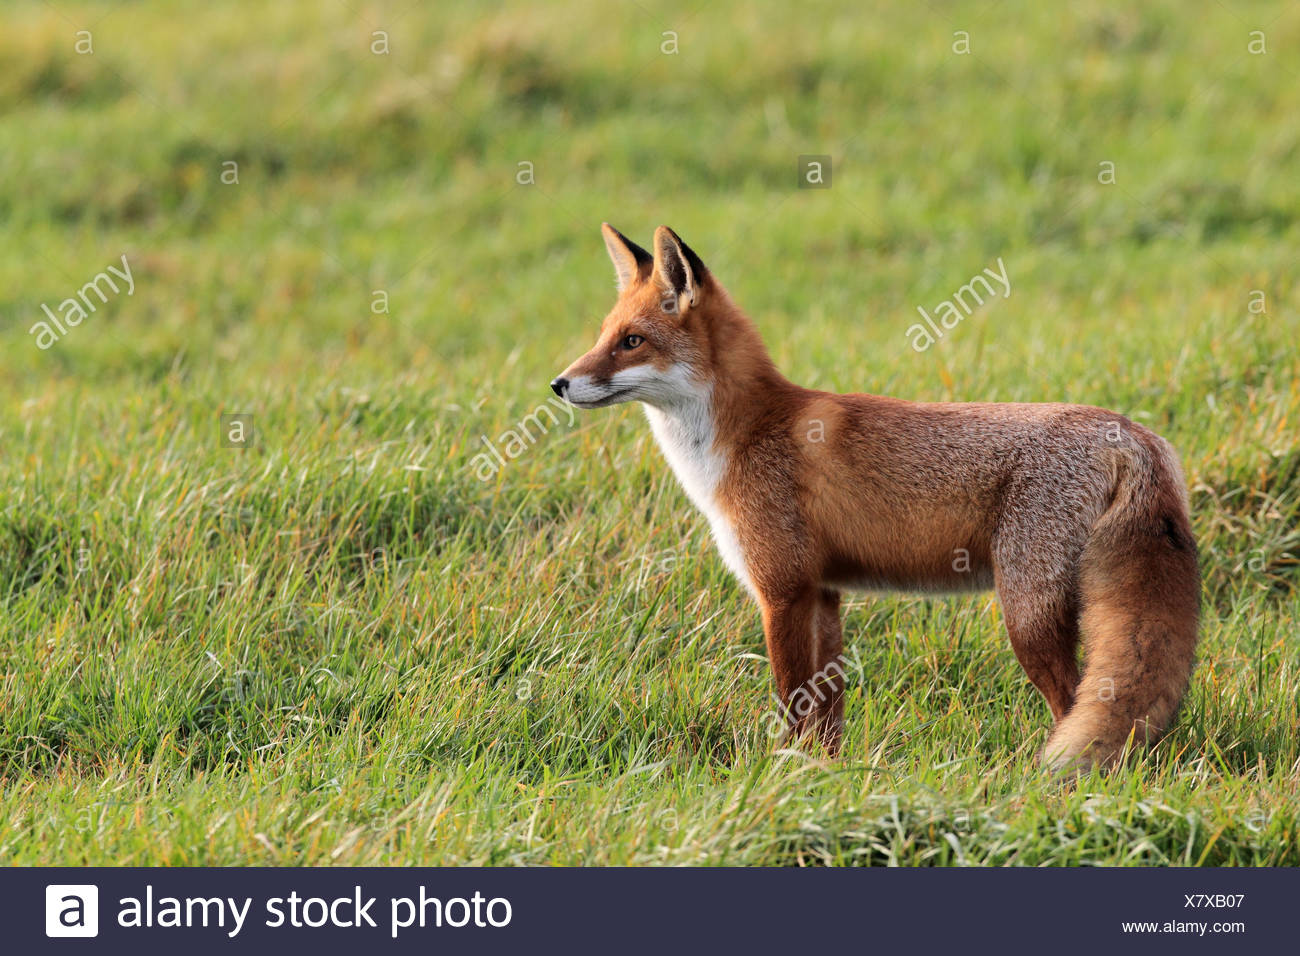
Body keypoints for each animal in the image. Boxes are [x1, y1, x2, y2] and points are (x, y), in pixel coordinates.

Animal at [551, 223, 1200, 772]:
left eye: (632, 341)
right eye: (604, 337)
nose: (559, 384)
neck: (745, 436)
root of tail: (1132, 434)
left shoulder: (781, 591)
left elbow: (792, 704)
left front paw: (783, 778)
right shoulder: (823, 593)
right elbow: (827, 716)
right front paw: (825, 778)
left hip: (1027, 618)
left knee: (1072, 708)